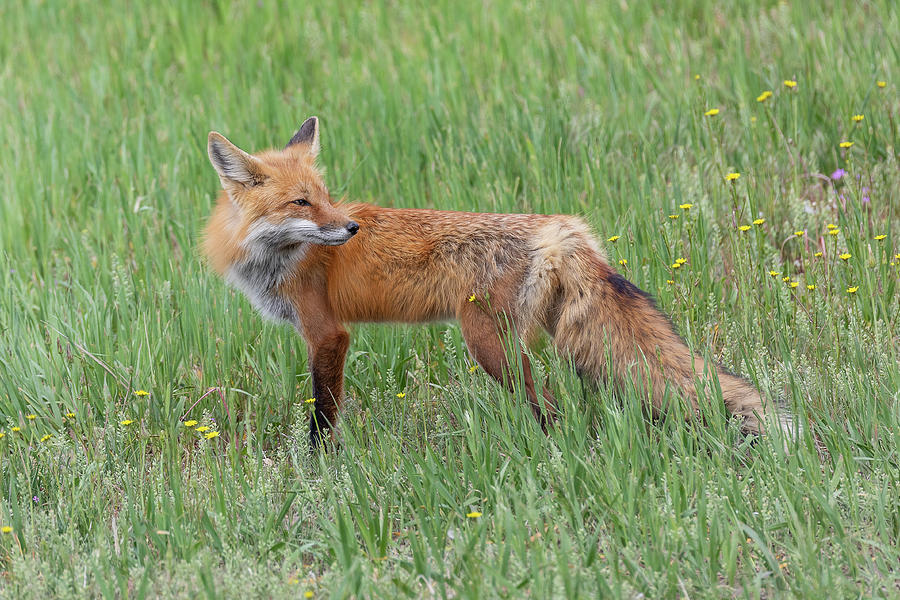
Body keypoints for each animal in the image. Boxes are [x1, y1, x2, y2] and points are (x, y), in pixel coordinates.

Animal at [203, 116, 781, 448]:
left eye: (322, 197)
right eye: (302, 202)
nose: (349, 228)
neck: (275, 257)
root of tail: (560, 227)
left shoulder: (327, 333)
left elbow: (322, 415)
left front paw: (319, 468)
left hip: (489, 345)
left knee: (553, 408)